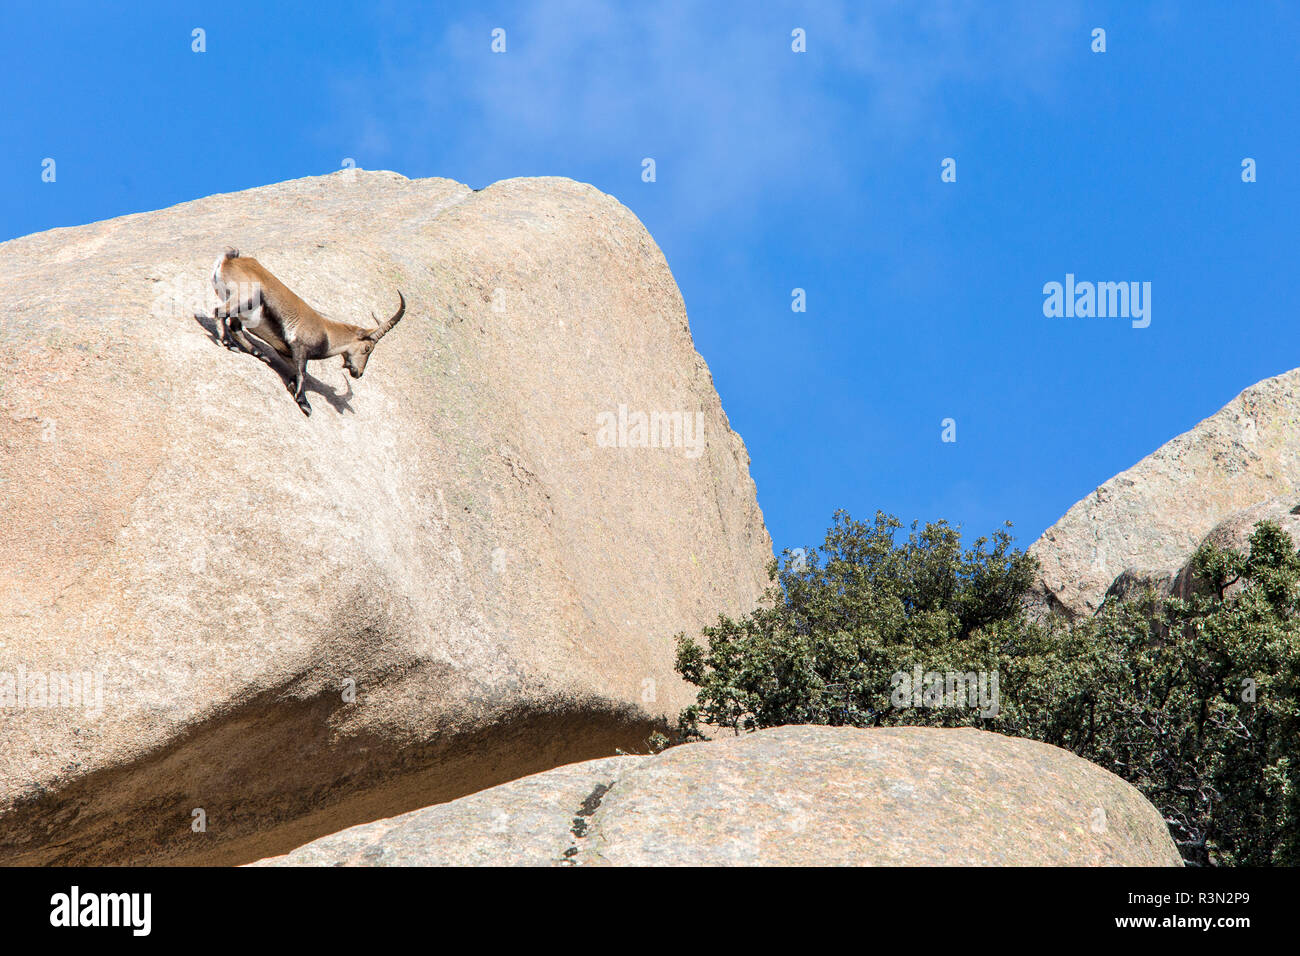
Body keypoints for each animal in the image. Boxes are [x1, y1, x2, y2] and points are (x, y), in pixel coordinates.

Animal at [205, 247, 405, 415]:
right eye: (367, 348)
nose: (358, 373)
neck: (328, 333)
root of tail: (229, 259)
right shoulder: (300, 347)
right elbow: (303, 373)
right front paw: (304, 403)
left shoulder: (285, 350)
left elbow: (295, 371)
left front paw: (293, 386)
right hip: (245, 298)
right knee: (220, 313)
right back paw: (229, 343)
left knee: (235, 326)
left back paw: (258, 352)